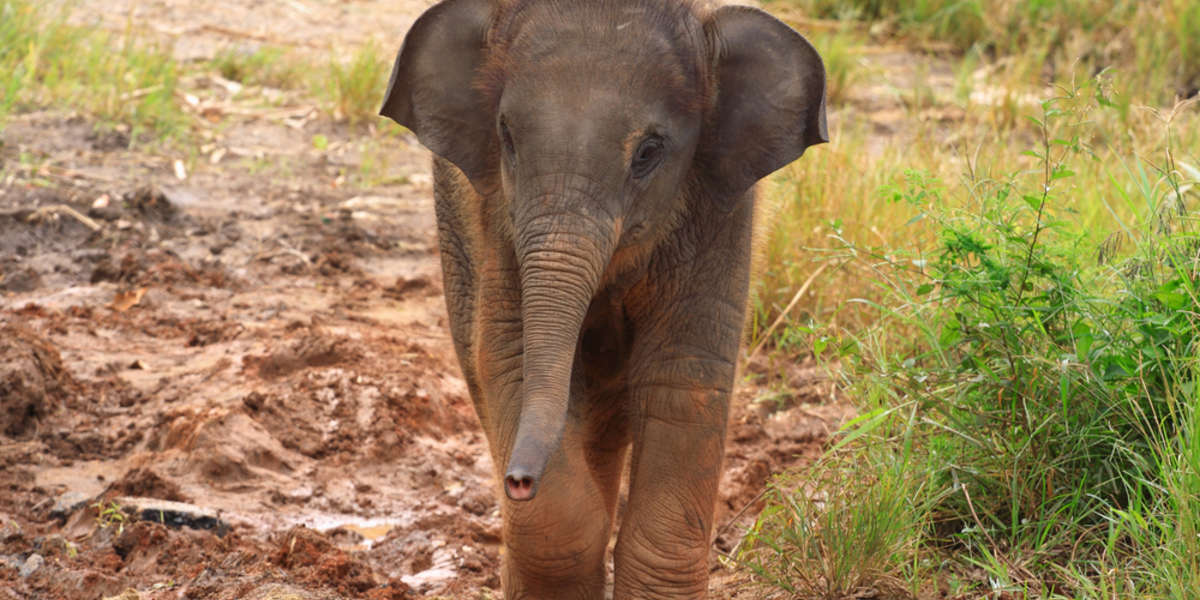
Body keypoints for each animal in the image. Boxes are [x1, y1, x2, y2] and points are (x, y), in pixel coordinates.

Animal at [380, 0, 826, 596]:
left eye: (648, 152)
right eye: (507, 138)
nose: (518, 480)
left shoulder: (722, 211)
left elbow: (683, 378)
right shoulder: (493, 216)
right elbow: (509, 360)